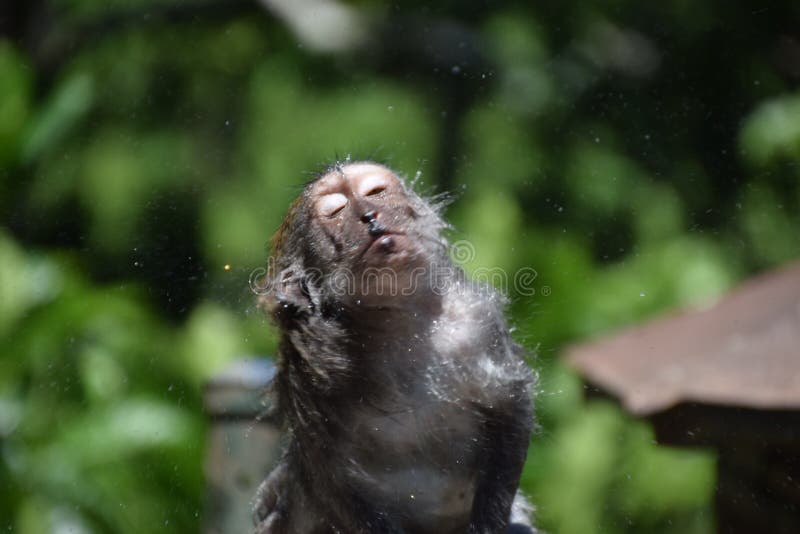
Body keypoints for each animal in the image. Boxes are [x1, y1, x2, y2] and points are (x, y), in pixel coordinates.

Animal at [252, 161, 536, 534]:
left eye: (375, 192)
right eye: (336, 211)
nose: (369, 216)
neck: (397, 321)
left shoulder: (477, 322)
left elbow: (511, 408)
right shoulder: (308, 374)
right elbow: (330, 480)